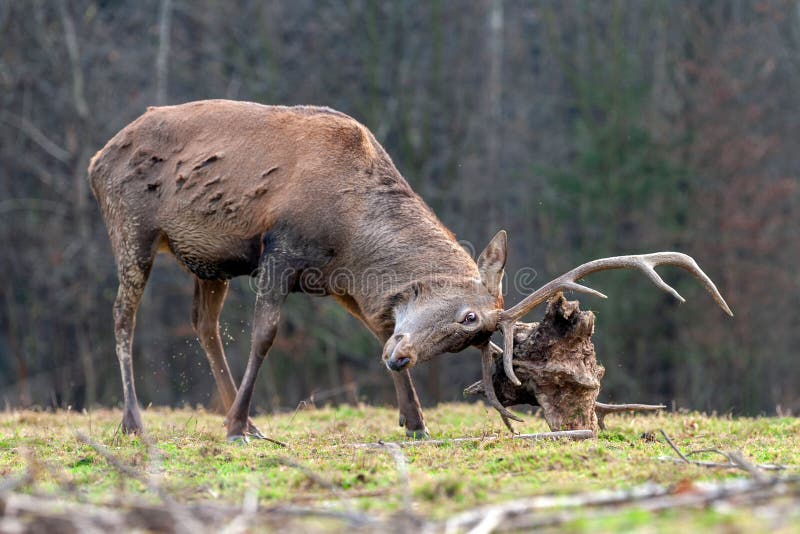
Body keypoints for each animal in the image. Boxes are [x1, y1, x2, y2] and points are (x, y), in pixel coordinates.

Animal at [88, 100, 732, 442]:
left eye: (467, 341)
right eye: (470, 318)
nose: (404, 358)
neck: (350, 235)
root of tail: (97, 159)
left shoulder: (343, 285)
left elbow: (377, 328)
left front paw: (415, 421)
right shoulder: (279, 251)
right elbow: (266, 334)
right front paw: (238, 423)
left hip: (209, 258)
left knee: (201, 323)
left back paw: (229, 411)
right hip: (131, 223)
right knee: (121, 316)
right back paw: (138, 420)